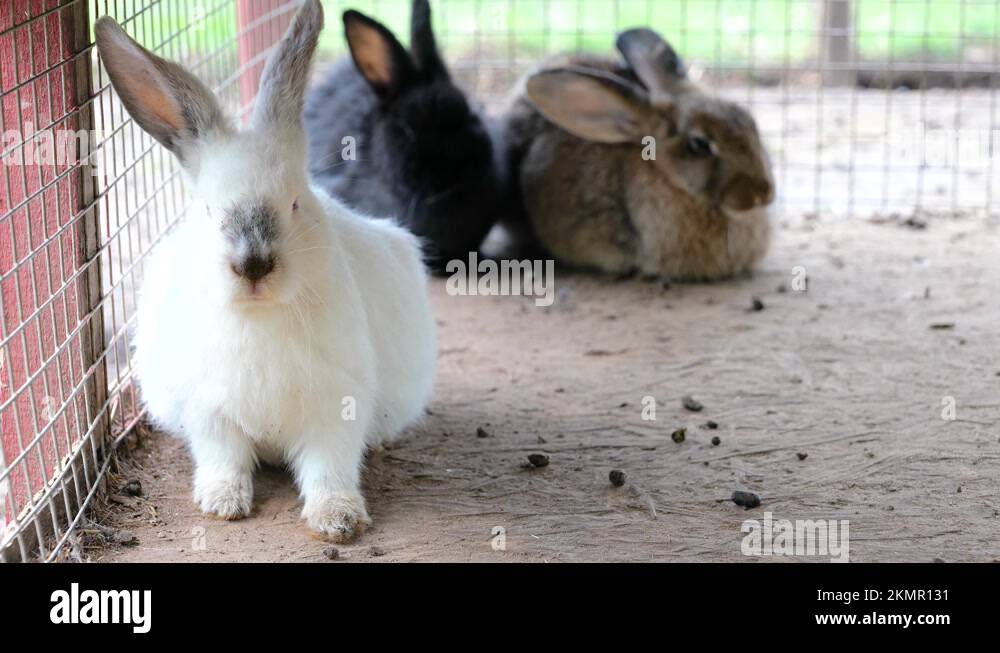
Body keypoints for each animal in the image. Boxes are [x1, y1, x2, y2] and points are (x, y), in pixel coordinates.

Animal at [95, 0, 436, 542]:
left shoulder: (334, 409)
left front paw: (338, 519)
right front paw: (222, 502)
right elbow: (224, 460)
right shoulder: (211, 415)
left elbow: (329, 469)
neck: (259, 318)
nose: (253, 264)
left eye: (296, 202)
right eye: (208, 209)